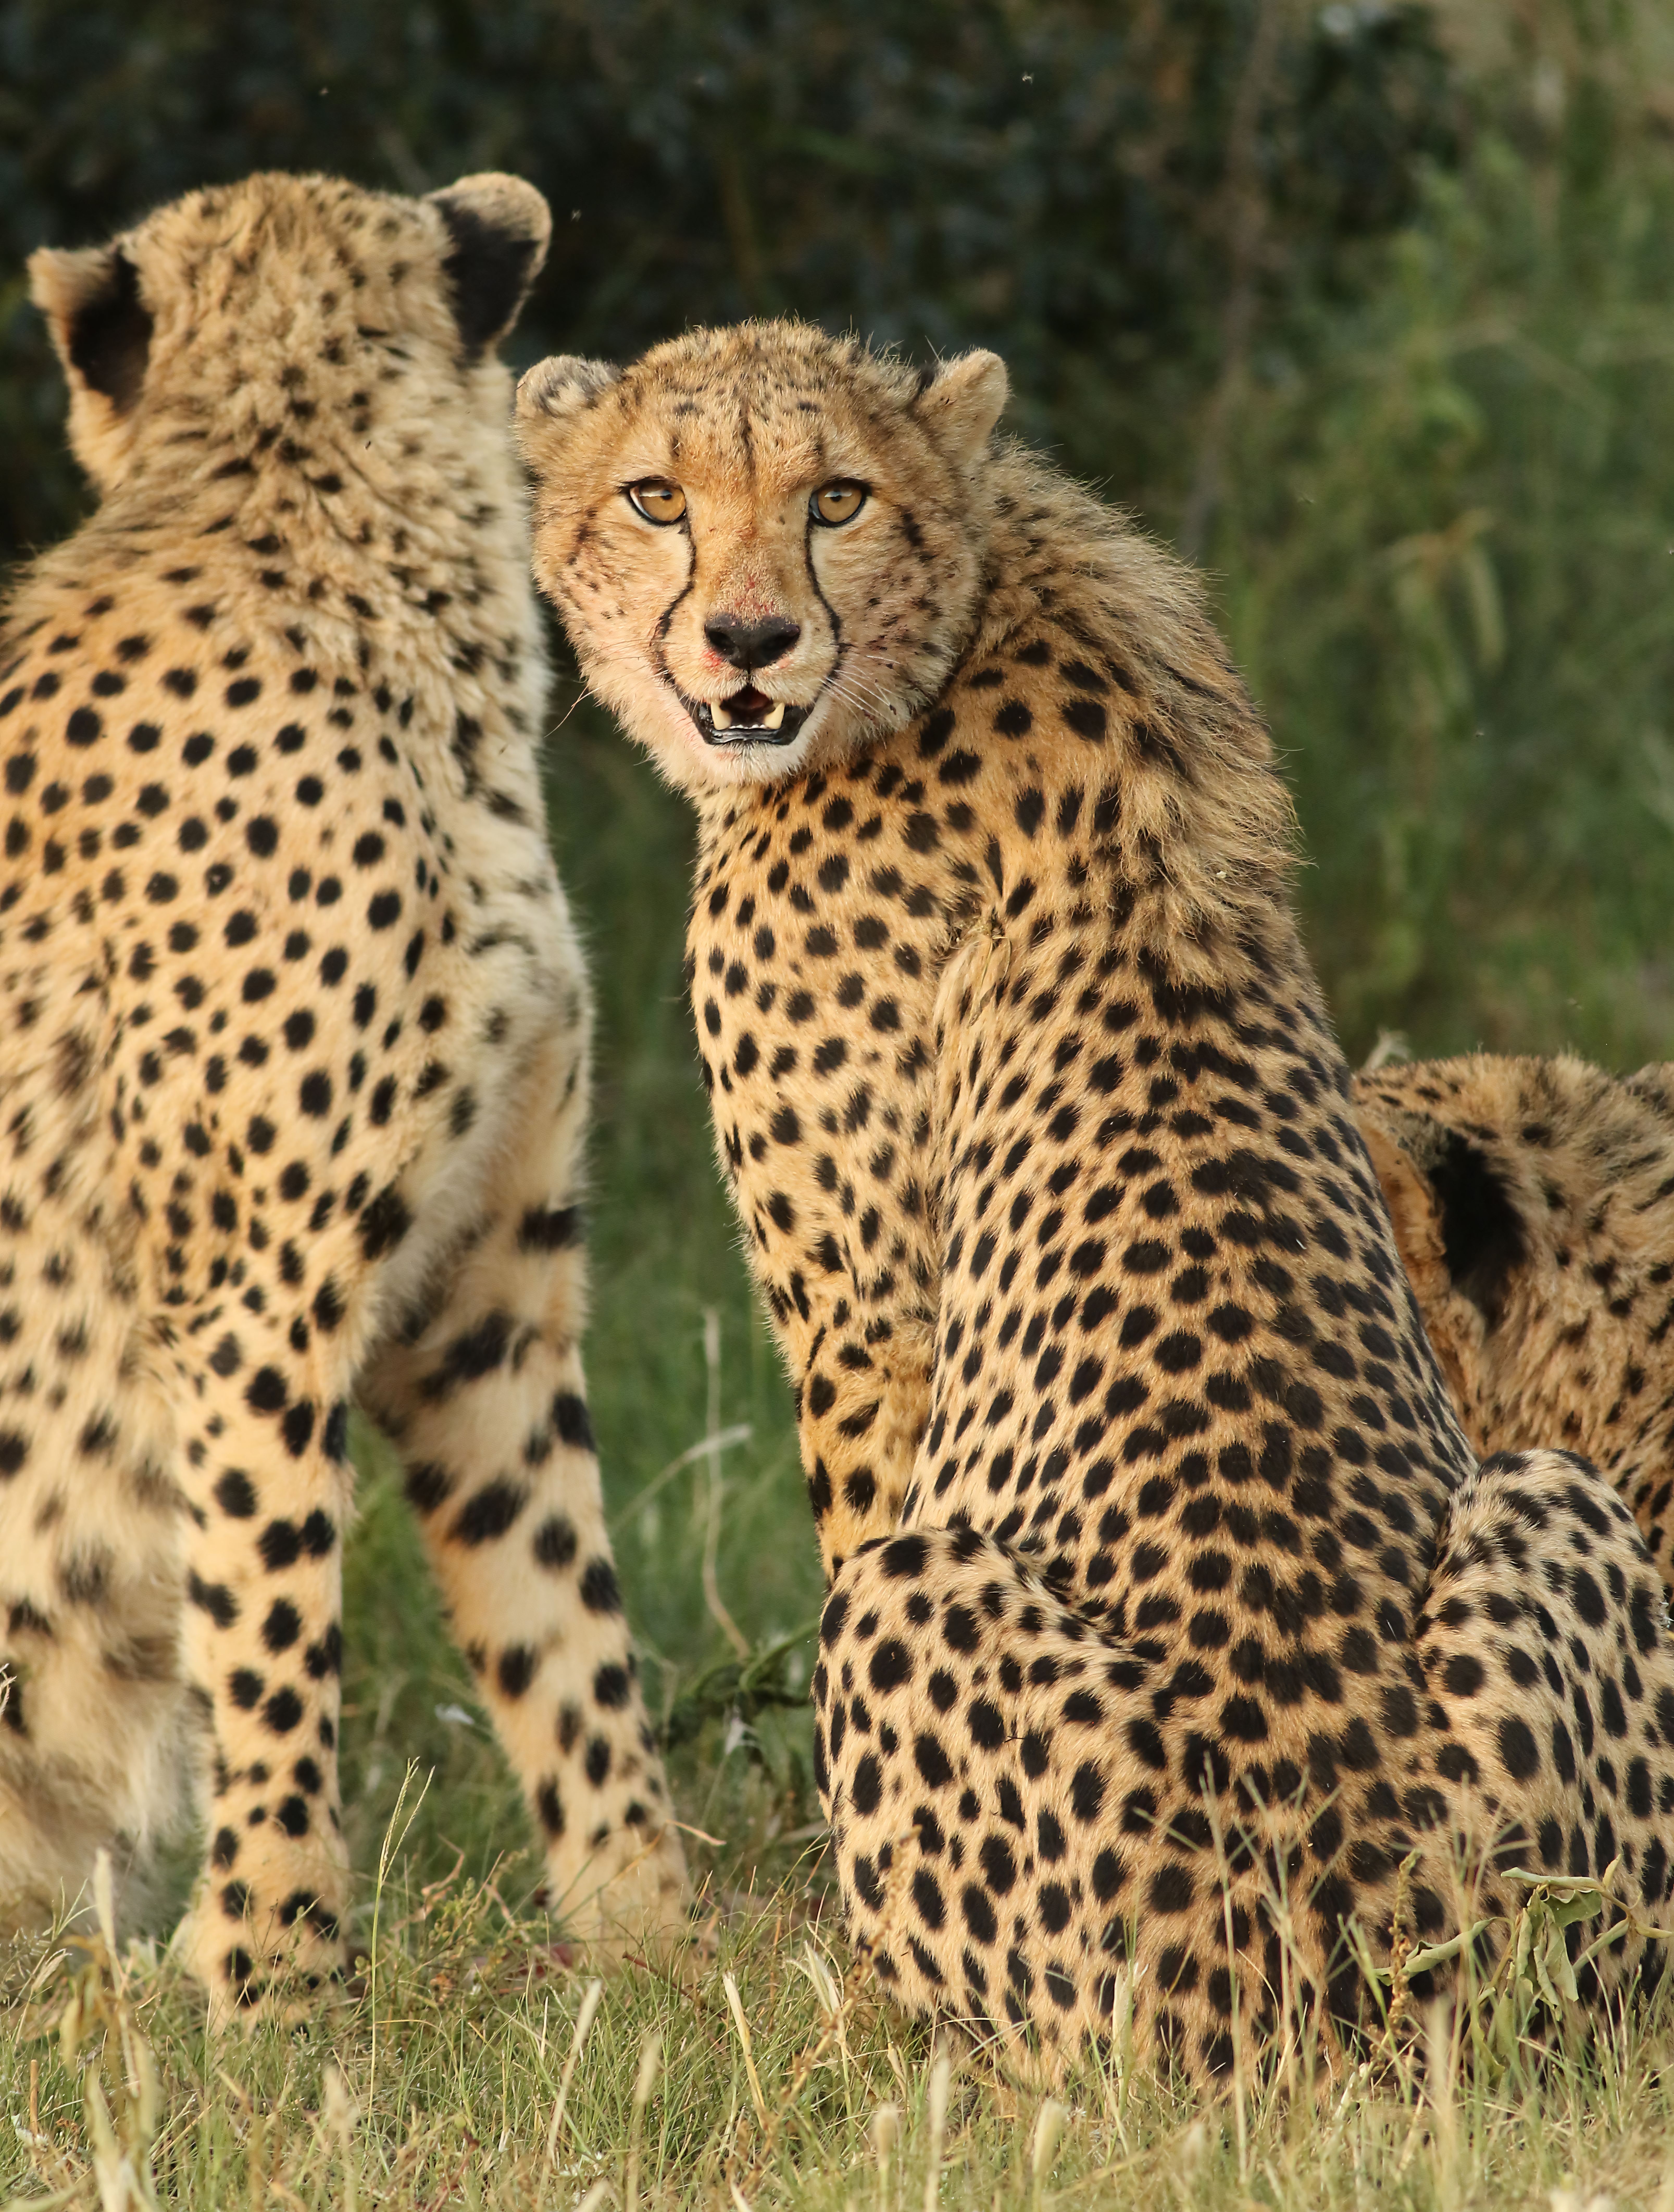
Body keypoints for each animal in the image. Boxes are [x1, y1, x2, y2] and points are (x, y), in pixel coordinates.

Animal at [0, 170, 688, 2021]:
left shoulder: (487, 1287)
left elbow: (564, 1616)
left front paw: (660, 1940)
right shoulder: (255, 1288)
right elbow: (268, 1623)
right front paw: (275, 1977)